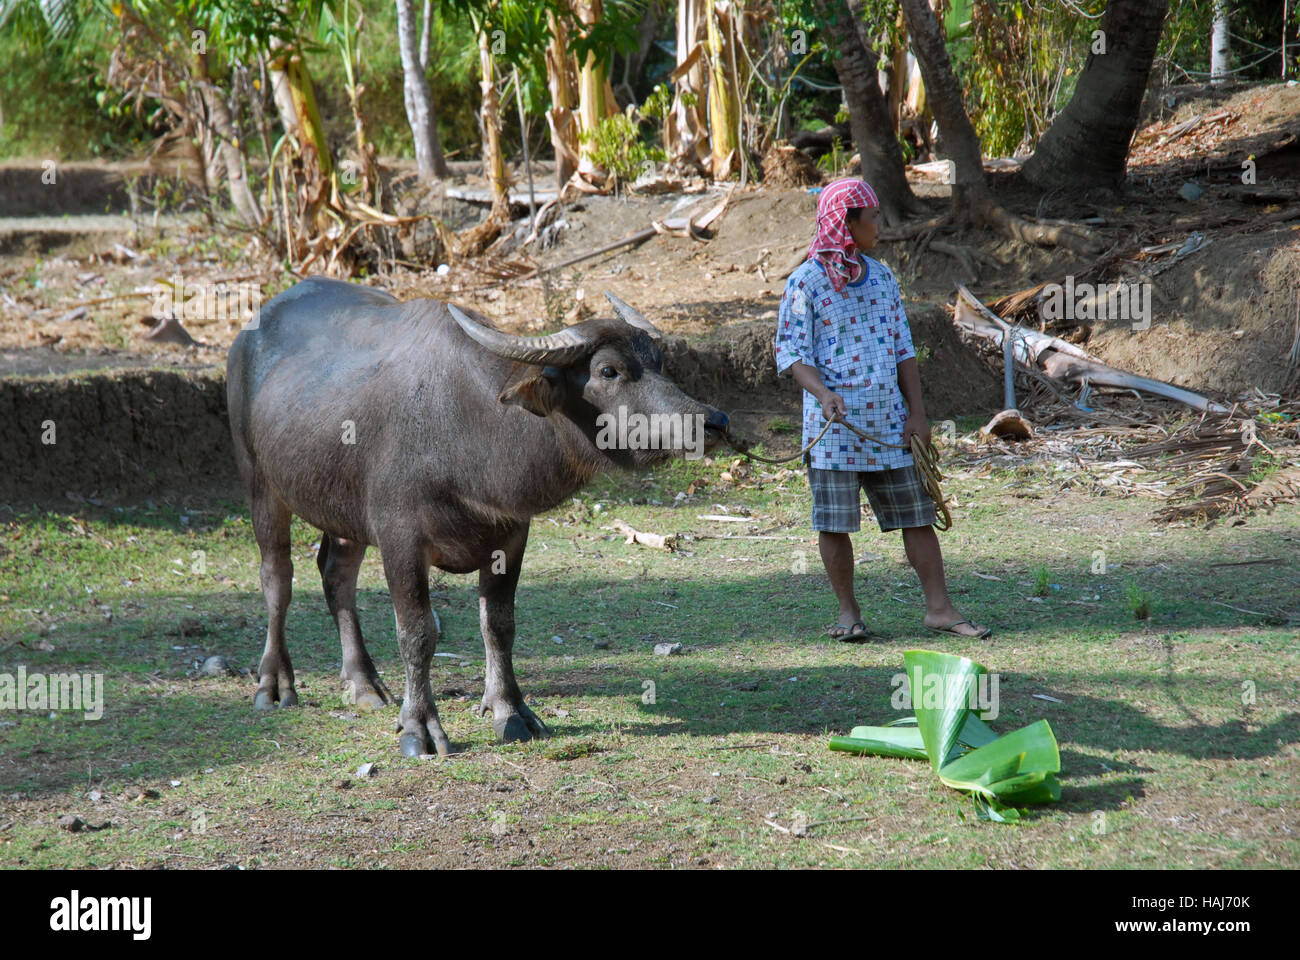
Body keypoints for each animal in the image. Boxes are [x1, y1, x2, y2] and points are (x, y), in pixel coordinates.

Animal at [226, 277, 728, 756]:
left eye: (659, 362)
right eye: (609, 370)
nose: (713, 420)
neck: (469, 427)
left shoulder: (511, 536)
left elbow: (499, 625)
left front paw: (510, 709)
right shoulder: (400, 537)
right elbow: (417, 633)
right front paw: (420, 726)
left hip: (343, 510)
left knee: (336, 574)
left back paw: (363, 682)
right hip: (259, 483)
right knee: (278, 578)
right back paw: (274, 684)